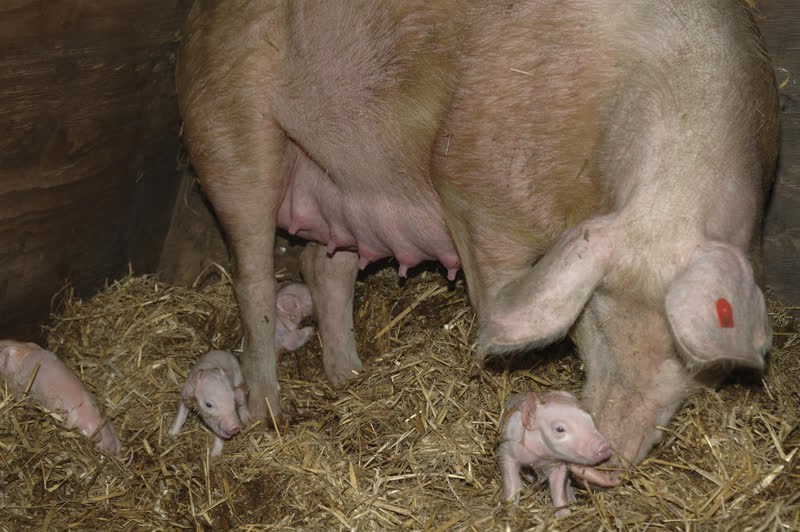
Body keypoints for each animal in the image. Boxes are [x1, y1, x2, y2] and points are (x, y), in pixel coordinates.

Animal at [177, 0, 779, 485]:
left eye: (683, 352)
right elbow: (492, 297)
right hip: (224, 125)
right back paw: (270, 412)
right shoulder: (471, 186)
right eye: (596, 316)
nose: (604, 467)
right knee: (253, 276)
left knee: (322, 264)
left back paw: (350, 375)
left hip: (342, 187)